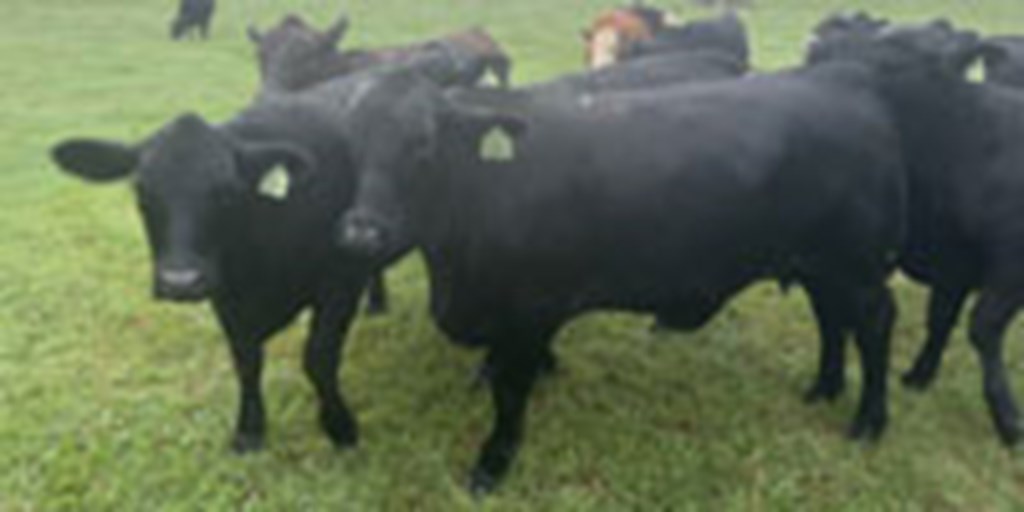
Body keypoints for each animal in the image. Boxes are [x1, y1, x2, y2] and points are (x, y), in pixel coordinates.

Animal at [49, 75, 395, 453]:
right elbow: (246, 361)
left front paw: (340, 427)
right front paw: (249, 431)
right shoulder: (225, 296)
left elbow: (318, 357)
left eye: (227, 192)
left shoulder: (340, 280)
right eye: (141, 193)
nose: (180, 281)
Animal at [334, 65, 905, 494]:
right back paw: (824, 387)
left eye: (423, 144)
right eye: (353, 146)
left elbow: (510, 390)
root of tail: (845, 85)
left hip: (854, 266)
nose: (362, 232)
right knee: (831, 319)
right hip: (819, 265)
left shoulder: (530, 309)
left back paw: (868, 421)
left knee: (873, 323)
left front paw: (494, 461)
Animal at [807, 19, 1024, 447]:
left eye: (895, 59)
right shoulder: (953, 264)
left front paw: (1007, 417)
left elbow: (981, 325)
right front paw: (919, 375)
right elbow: (939, 319)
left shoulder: (1008, 267)